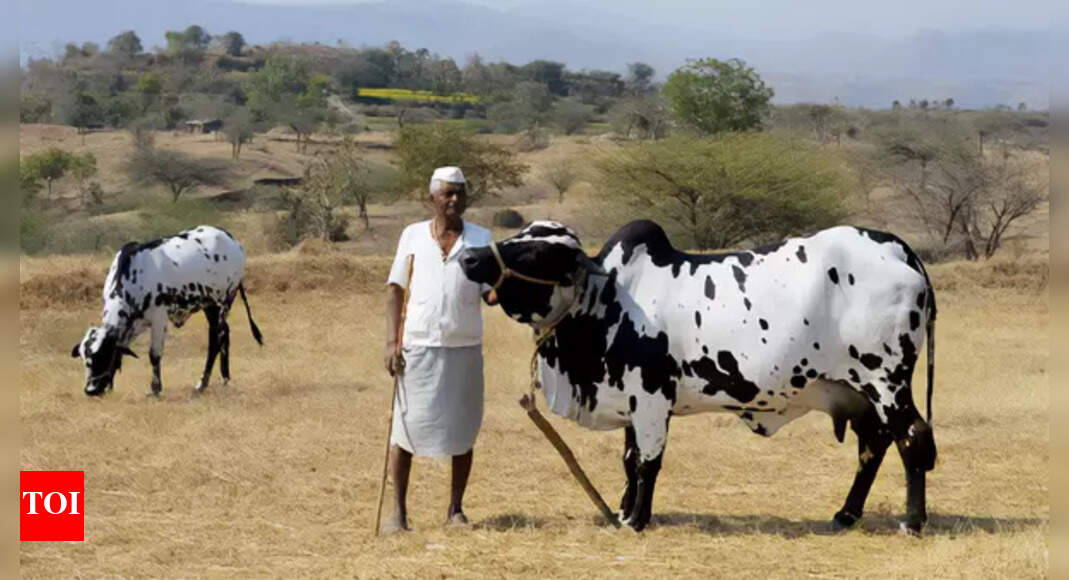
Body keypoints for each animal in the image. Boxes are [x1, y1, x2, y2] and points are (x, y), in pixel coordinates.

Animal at [71, 225, 263, 397]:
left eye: (102, 356)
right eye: (84, 359)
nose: (90, 391)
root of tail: (231, 239)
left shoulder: (159, 319)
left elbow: (154, 355)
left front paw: (155, 389)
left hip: (223, 303)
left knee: (216, 339)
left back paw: (202, 384)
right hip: (210, 307)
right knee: (225, 335)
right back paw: (224, 378)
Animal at [459, 220, 937, 534]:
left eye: (538, 252)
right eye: (519, 236)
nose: (469, 257)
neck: (606, 299)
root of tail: (898, 248)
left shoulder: (652, 398)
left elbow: (648, 462)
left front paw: (637, 520)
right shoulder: (632, 401)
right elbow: (629, 460)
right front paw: (624, 510)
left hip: (887, 382)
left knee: (912, 437)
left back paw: (912, 522)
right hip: (858, 392)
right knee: (873, 445)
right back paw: (846, 514)